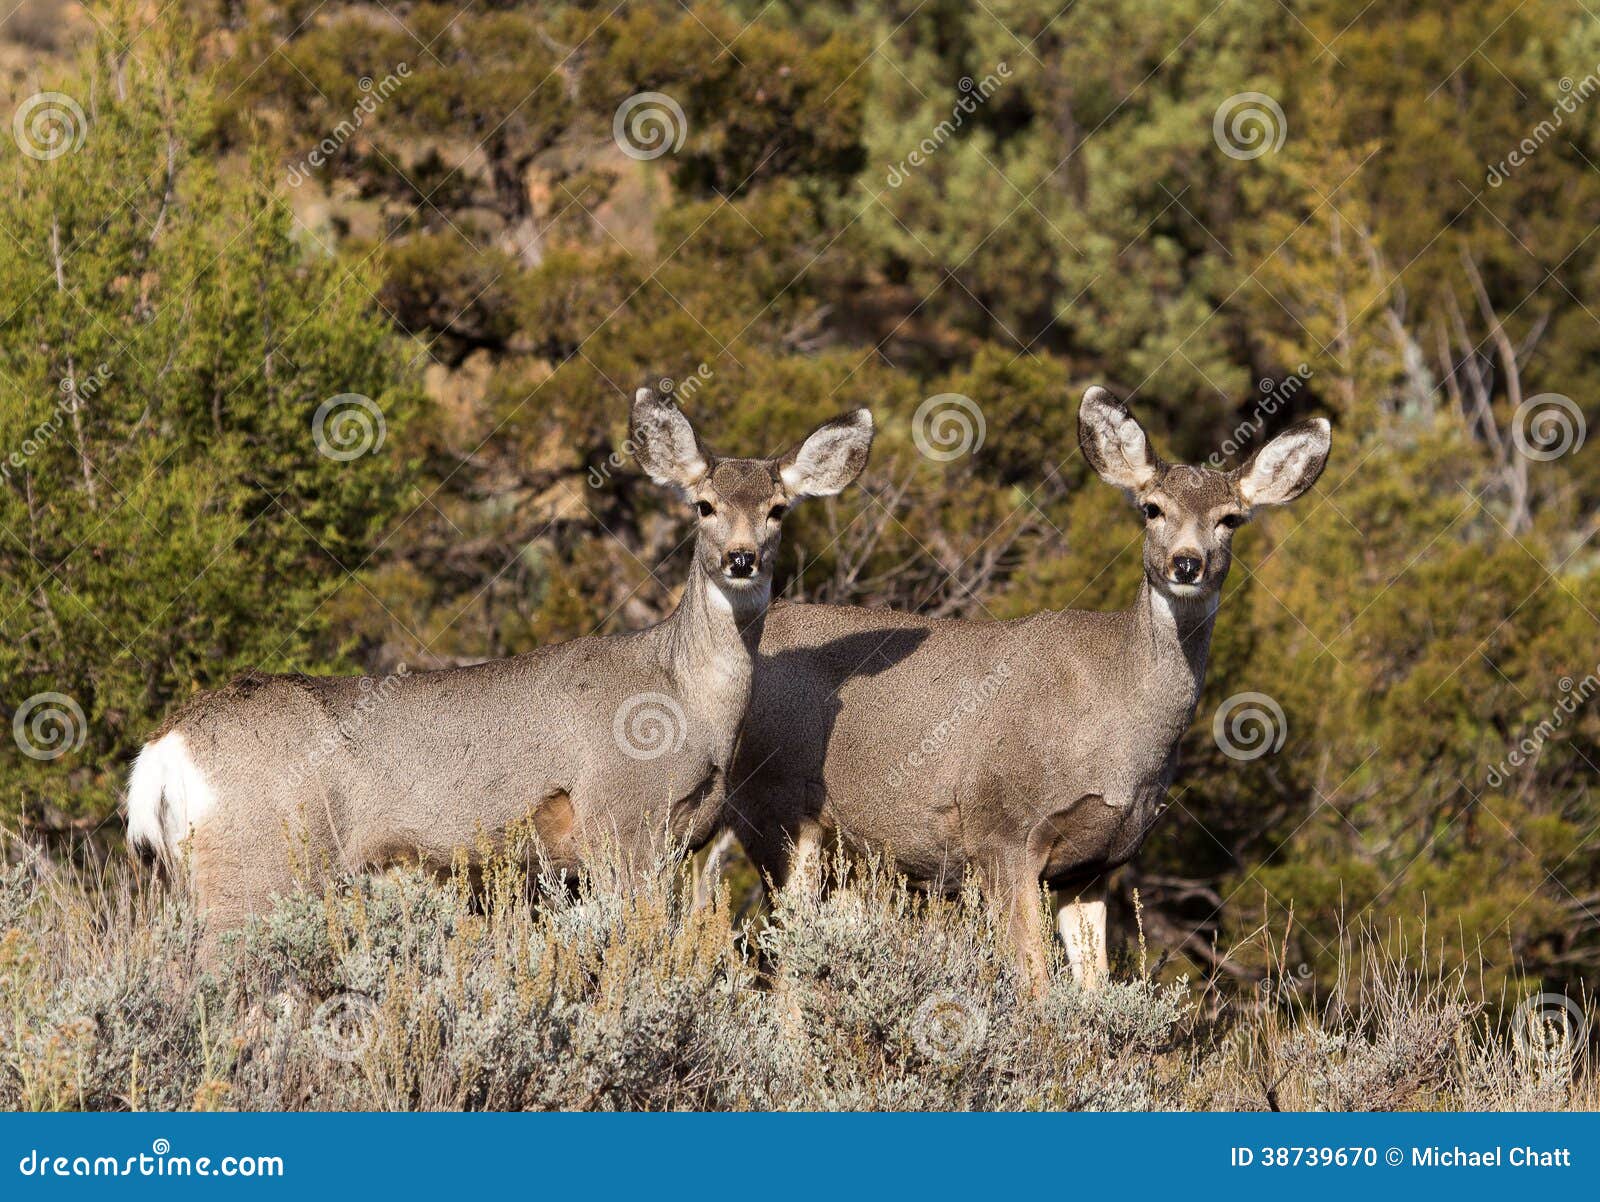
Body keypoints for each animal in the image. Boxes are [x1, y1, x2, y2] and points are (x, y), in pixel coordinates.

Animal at [126, 388, 875, 945]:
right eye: (704, 505)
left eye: (778, 509)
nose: (741, 559)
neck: (683, 697)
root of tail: (164, 750)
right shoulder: (621, 824)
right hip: (255, 871)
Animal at [728, 387, 1330, 992]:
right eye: (1152, 508)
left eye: (1231, 519)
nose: (1188, 563)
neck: (1118, 726)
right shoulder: (1000, 832)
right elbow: (1034, 983)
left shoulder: (1094, 863)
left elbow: (1093, 987)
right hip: (777, 811)